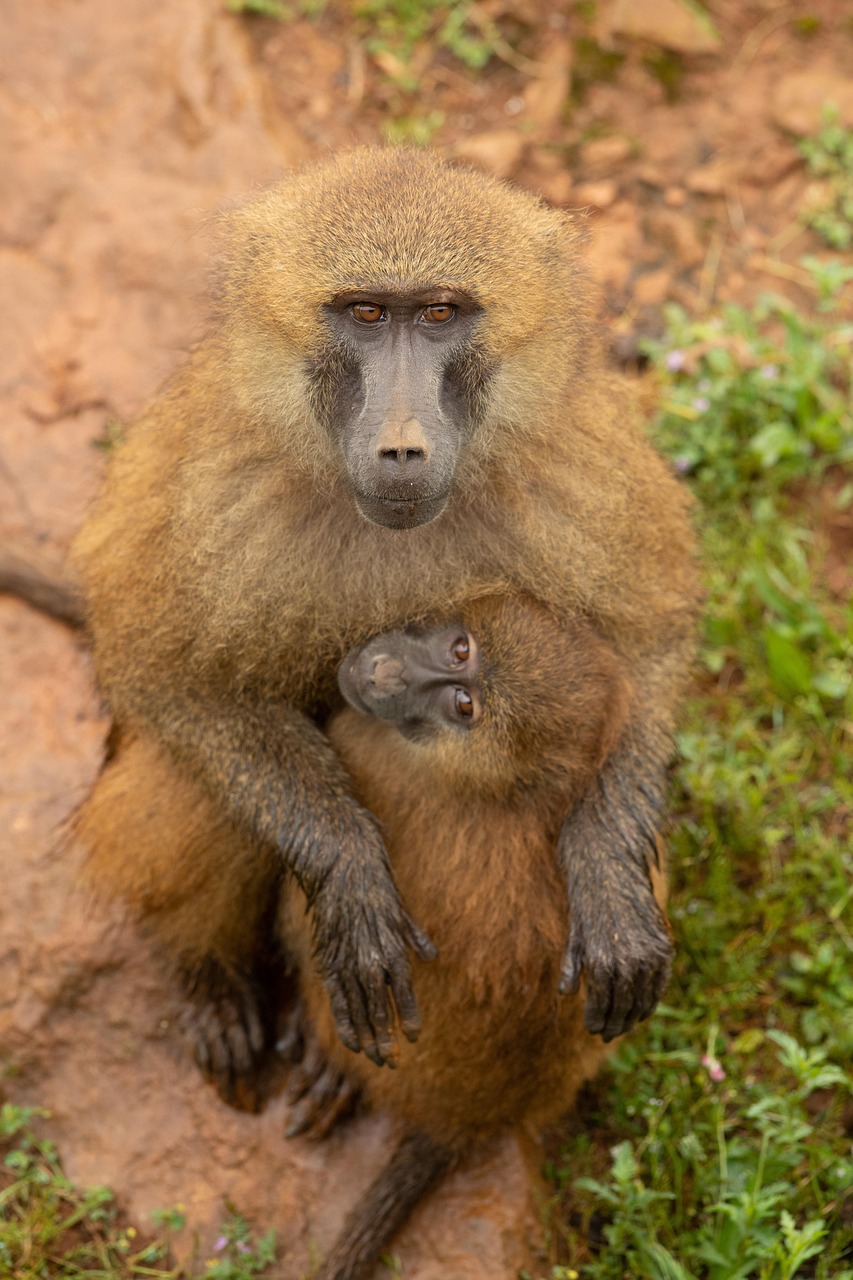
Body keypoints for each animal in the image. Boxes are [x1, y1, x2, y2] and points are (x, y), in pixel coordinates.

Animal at [6, 147, 698, 1088]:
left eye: (439, 314)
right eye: (366, 314)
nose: (401, 448)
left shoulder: (576, 461)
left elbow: (644, 647)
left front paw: (606, 874)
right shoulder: (210, 477)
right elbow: (175, 681)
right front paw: (350, 875)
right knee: (192, 779)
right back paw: (211, 979)